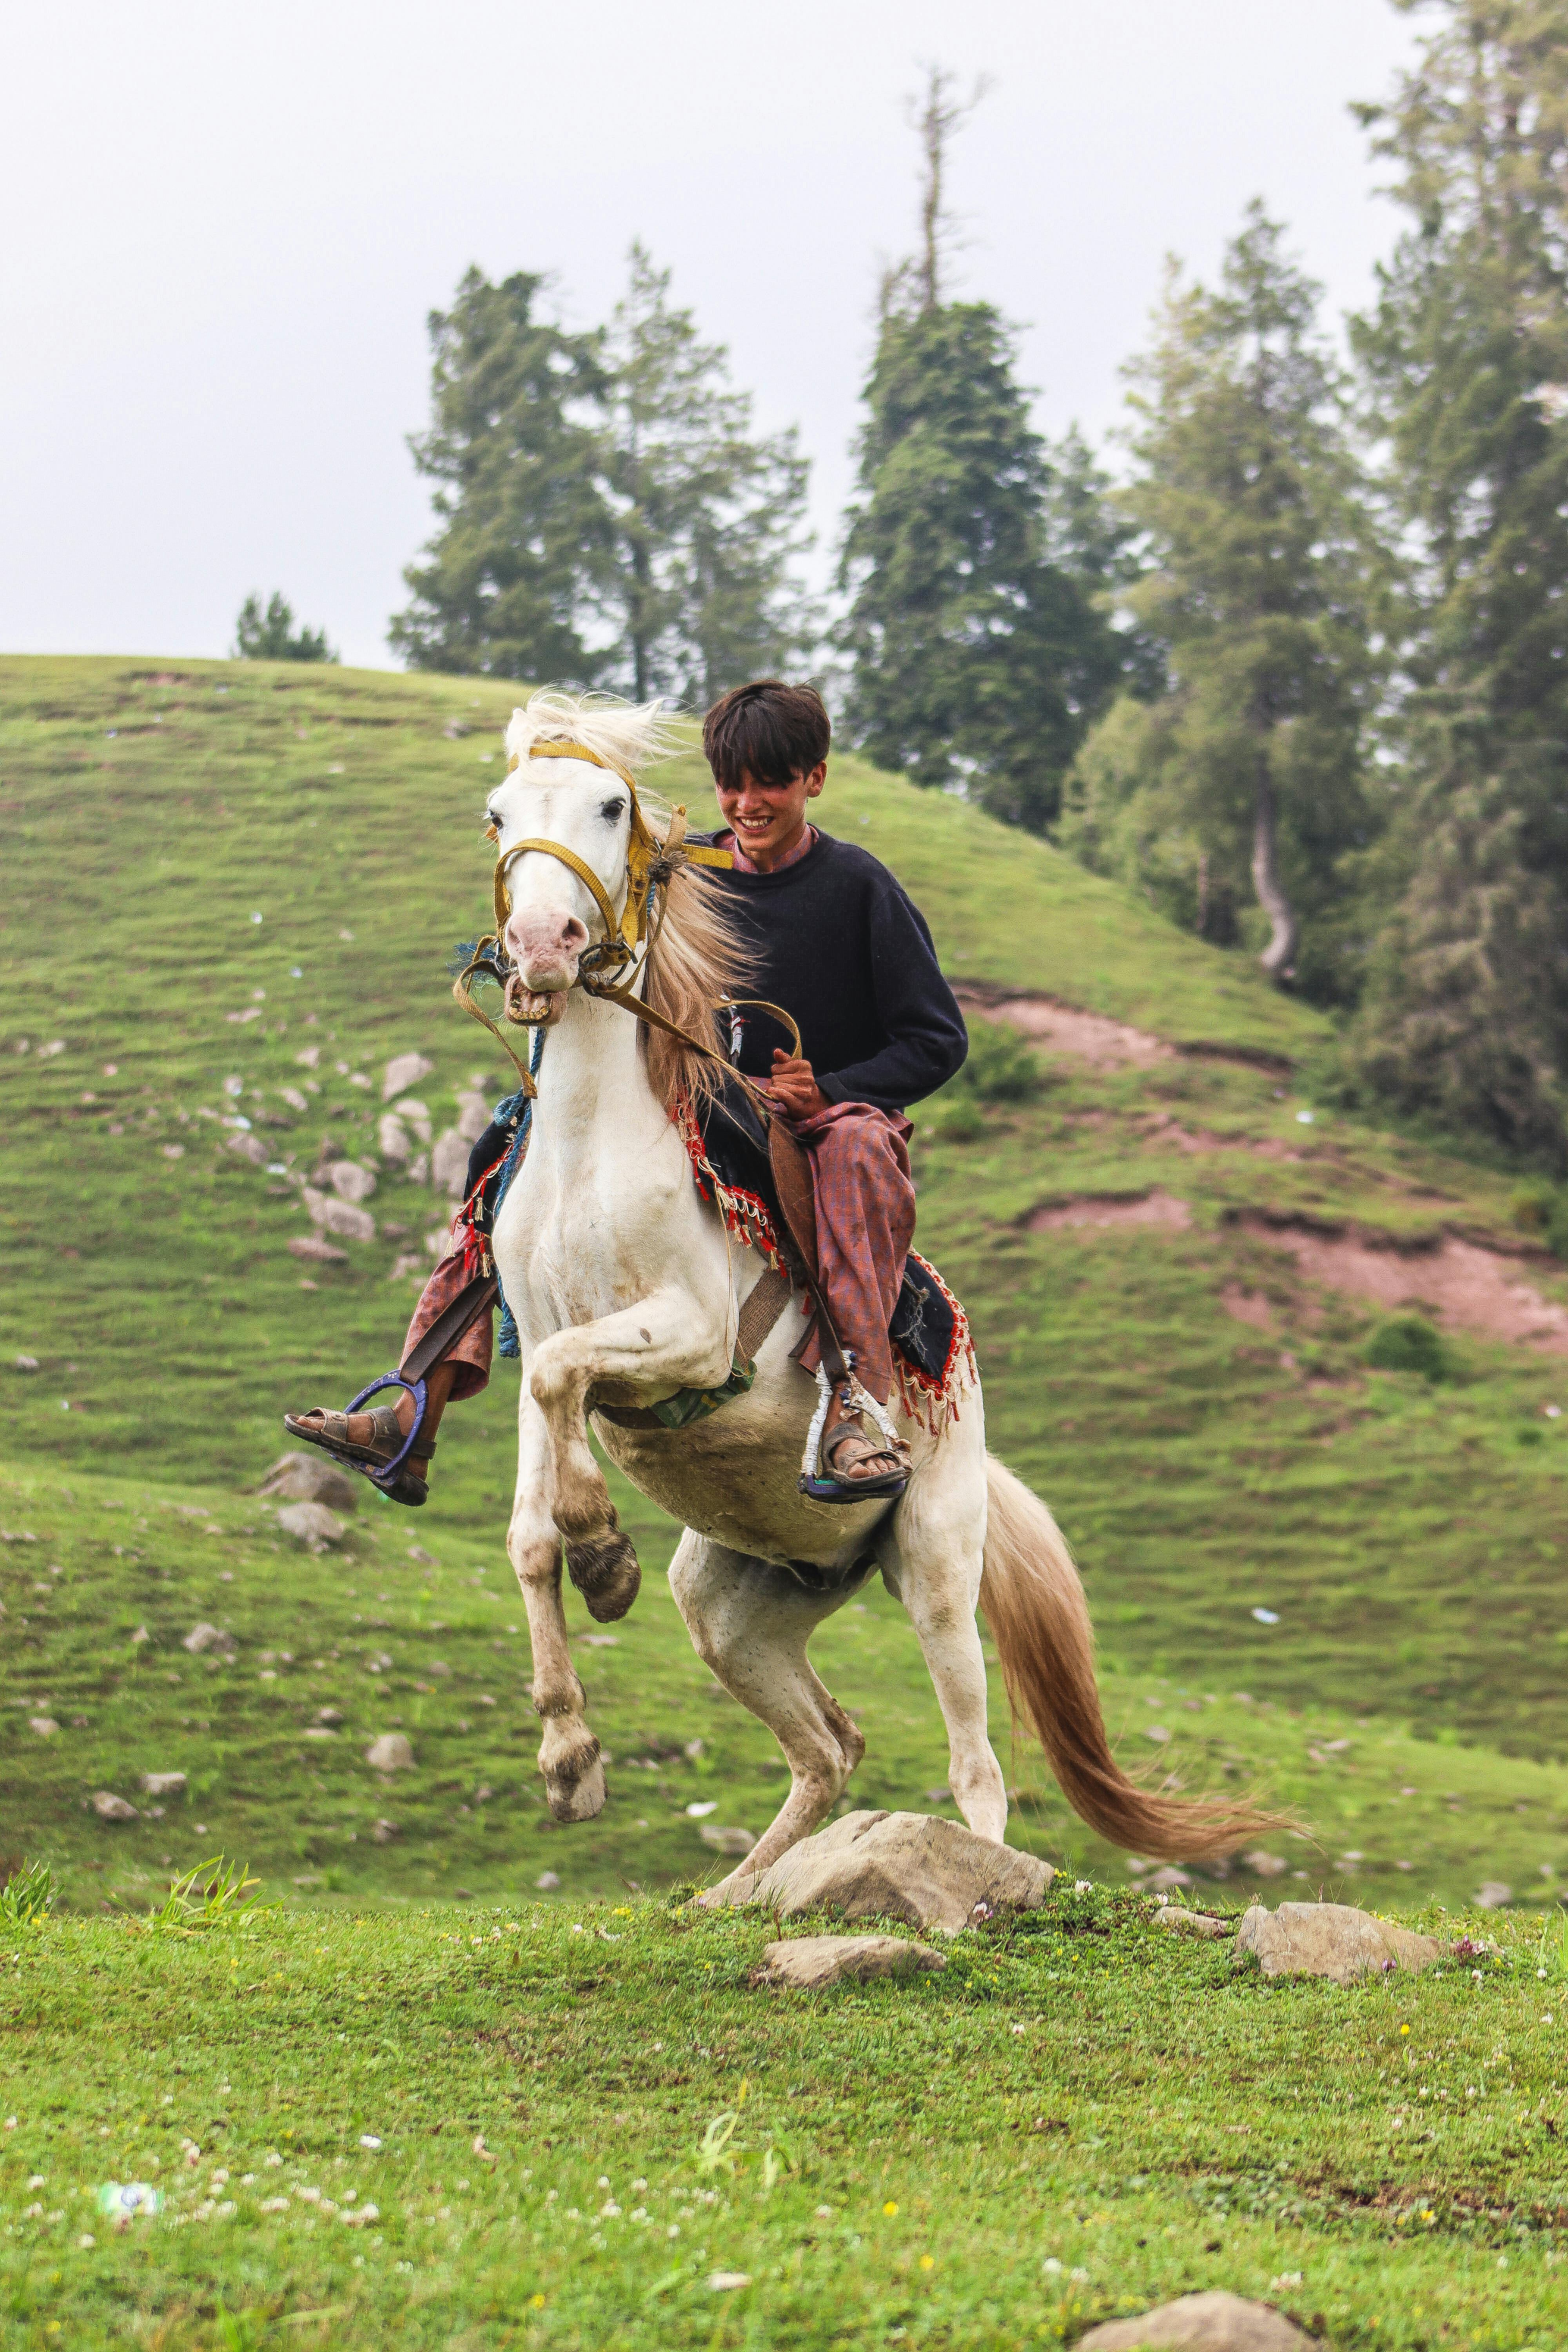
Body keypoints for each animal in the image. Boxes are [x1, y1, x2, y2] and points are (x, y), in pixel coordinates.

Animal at [484, 689, 1269, 1892]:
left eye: (611, 805)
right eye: (497, 813)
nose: (539, 948)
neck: (588, 1151)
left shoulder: (691, 1335)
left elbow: (573, 1390)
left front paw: (604, 1553)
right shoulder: (542, 1339)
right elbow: (532, 1515)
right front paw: (570, 1753)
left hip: (938, 1565)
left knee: (974, 1767)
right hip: (738, 1605)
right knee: (831, 1746)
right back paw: (737, 1894)